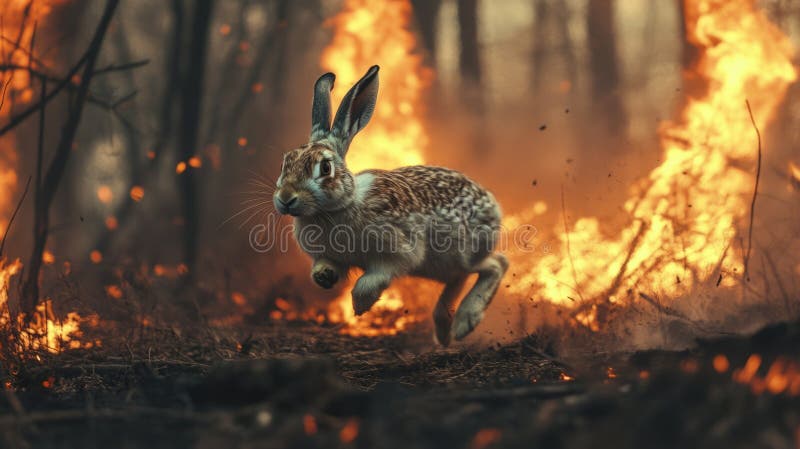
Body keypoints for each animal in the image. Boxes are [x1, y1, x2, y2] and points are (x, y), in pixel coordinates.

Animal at [273, 65, 508, 345]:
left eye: (326, 168)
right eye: (285, 162)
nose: (286, 198)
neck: (338, 208)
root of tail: (493, 205)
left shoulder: (397, 252)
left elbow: (372, 280)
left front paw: (360, 305)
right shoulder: (332, 256)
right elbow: (327, 266)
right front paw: (324, 277)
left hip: (461, 253)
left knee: (497, 264)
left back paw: (465, 322)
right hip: (441, 266)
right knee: (460, 278)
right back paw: (444, 332)